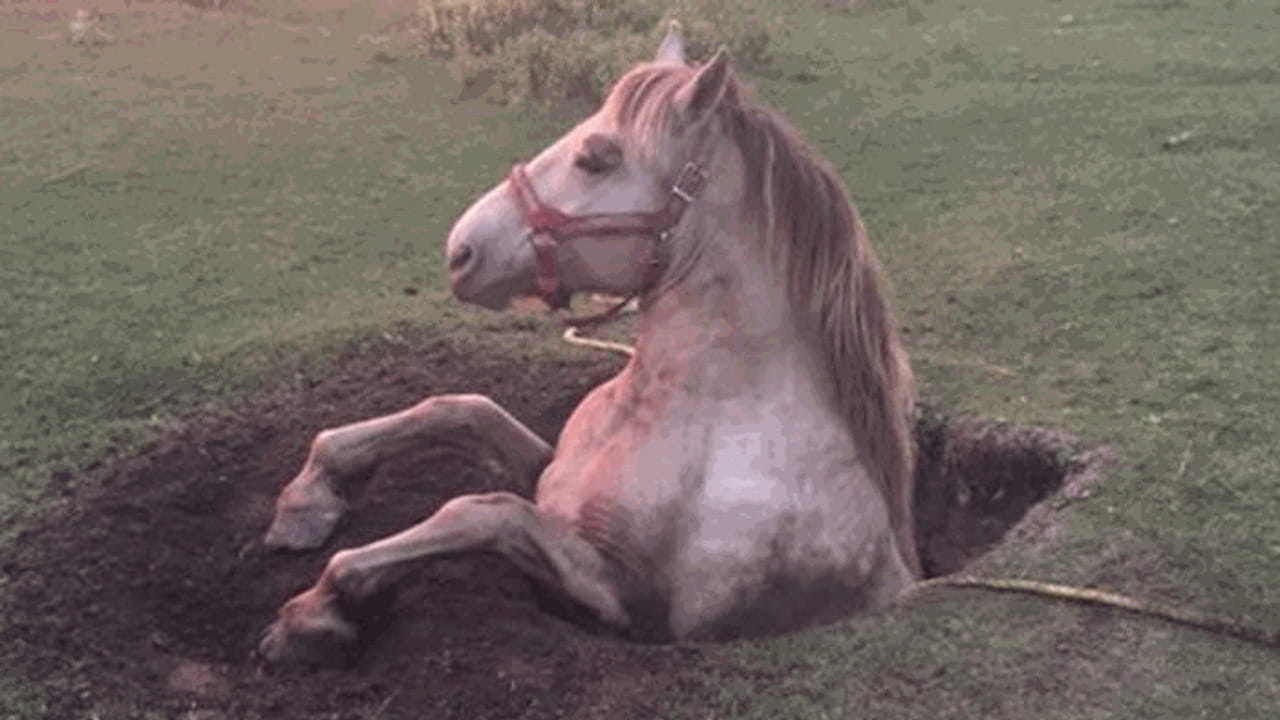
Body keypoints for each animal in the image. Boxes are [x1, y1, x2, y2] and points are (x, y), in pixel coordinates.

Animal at [258, 23, 919, 664]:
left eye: (598, 159)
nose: (460, 251)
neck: (711, 422)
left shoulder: (625, 601)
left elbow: (484, 512)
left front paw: (318, 610)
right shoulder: (550, 476)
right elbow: (461, 408)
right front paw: (313, 493)